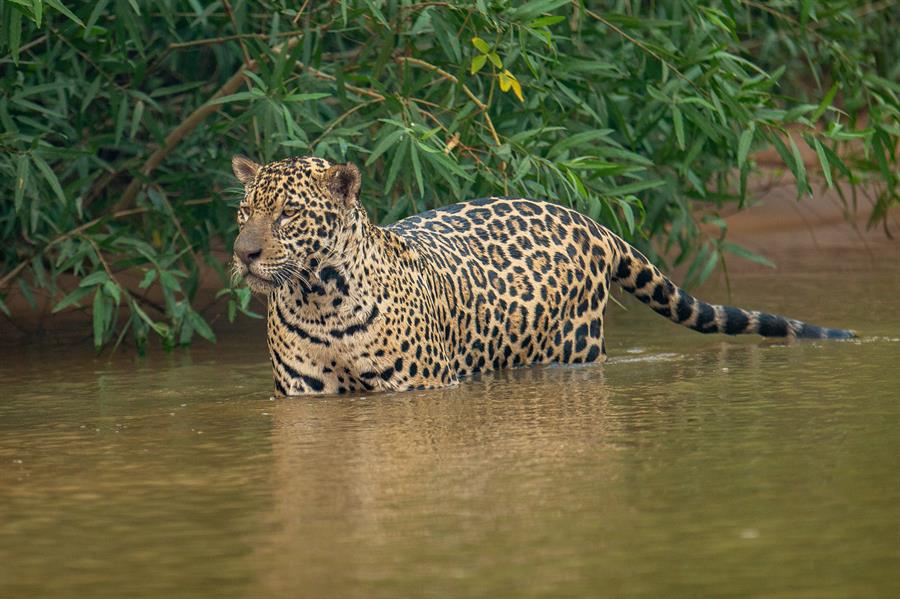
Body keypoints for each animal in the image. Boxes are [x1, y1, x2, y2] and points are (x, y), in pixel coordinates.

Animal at [230, 155, 855, 396]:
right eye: (245, 211)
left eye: (287, 213)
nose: (243, 253)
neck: (318, 298)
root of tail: (589, 219)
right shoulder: (303, 399)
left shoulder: (415, 390)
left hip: (573, 351)